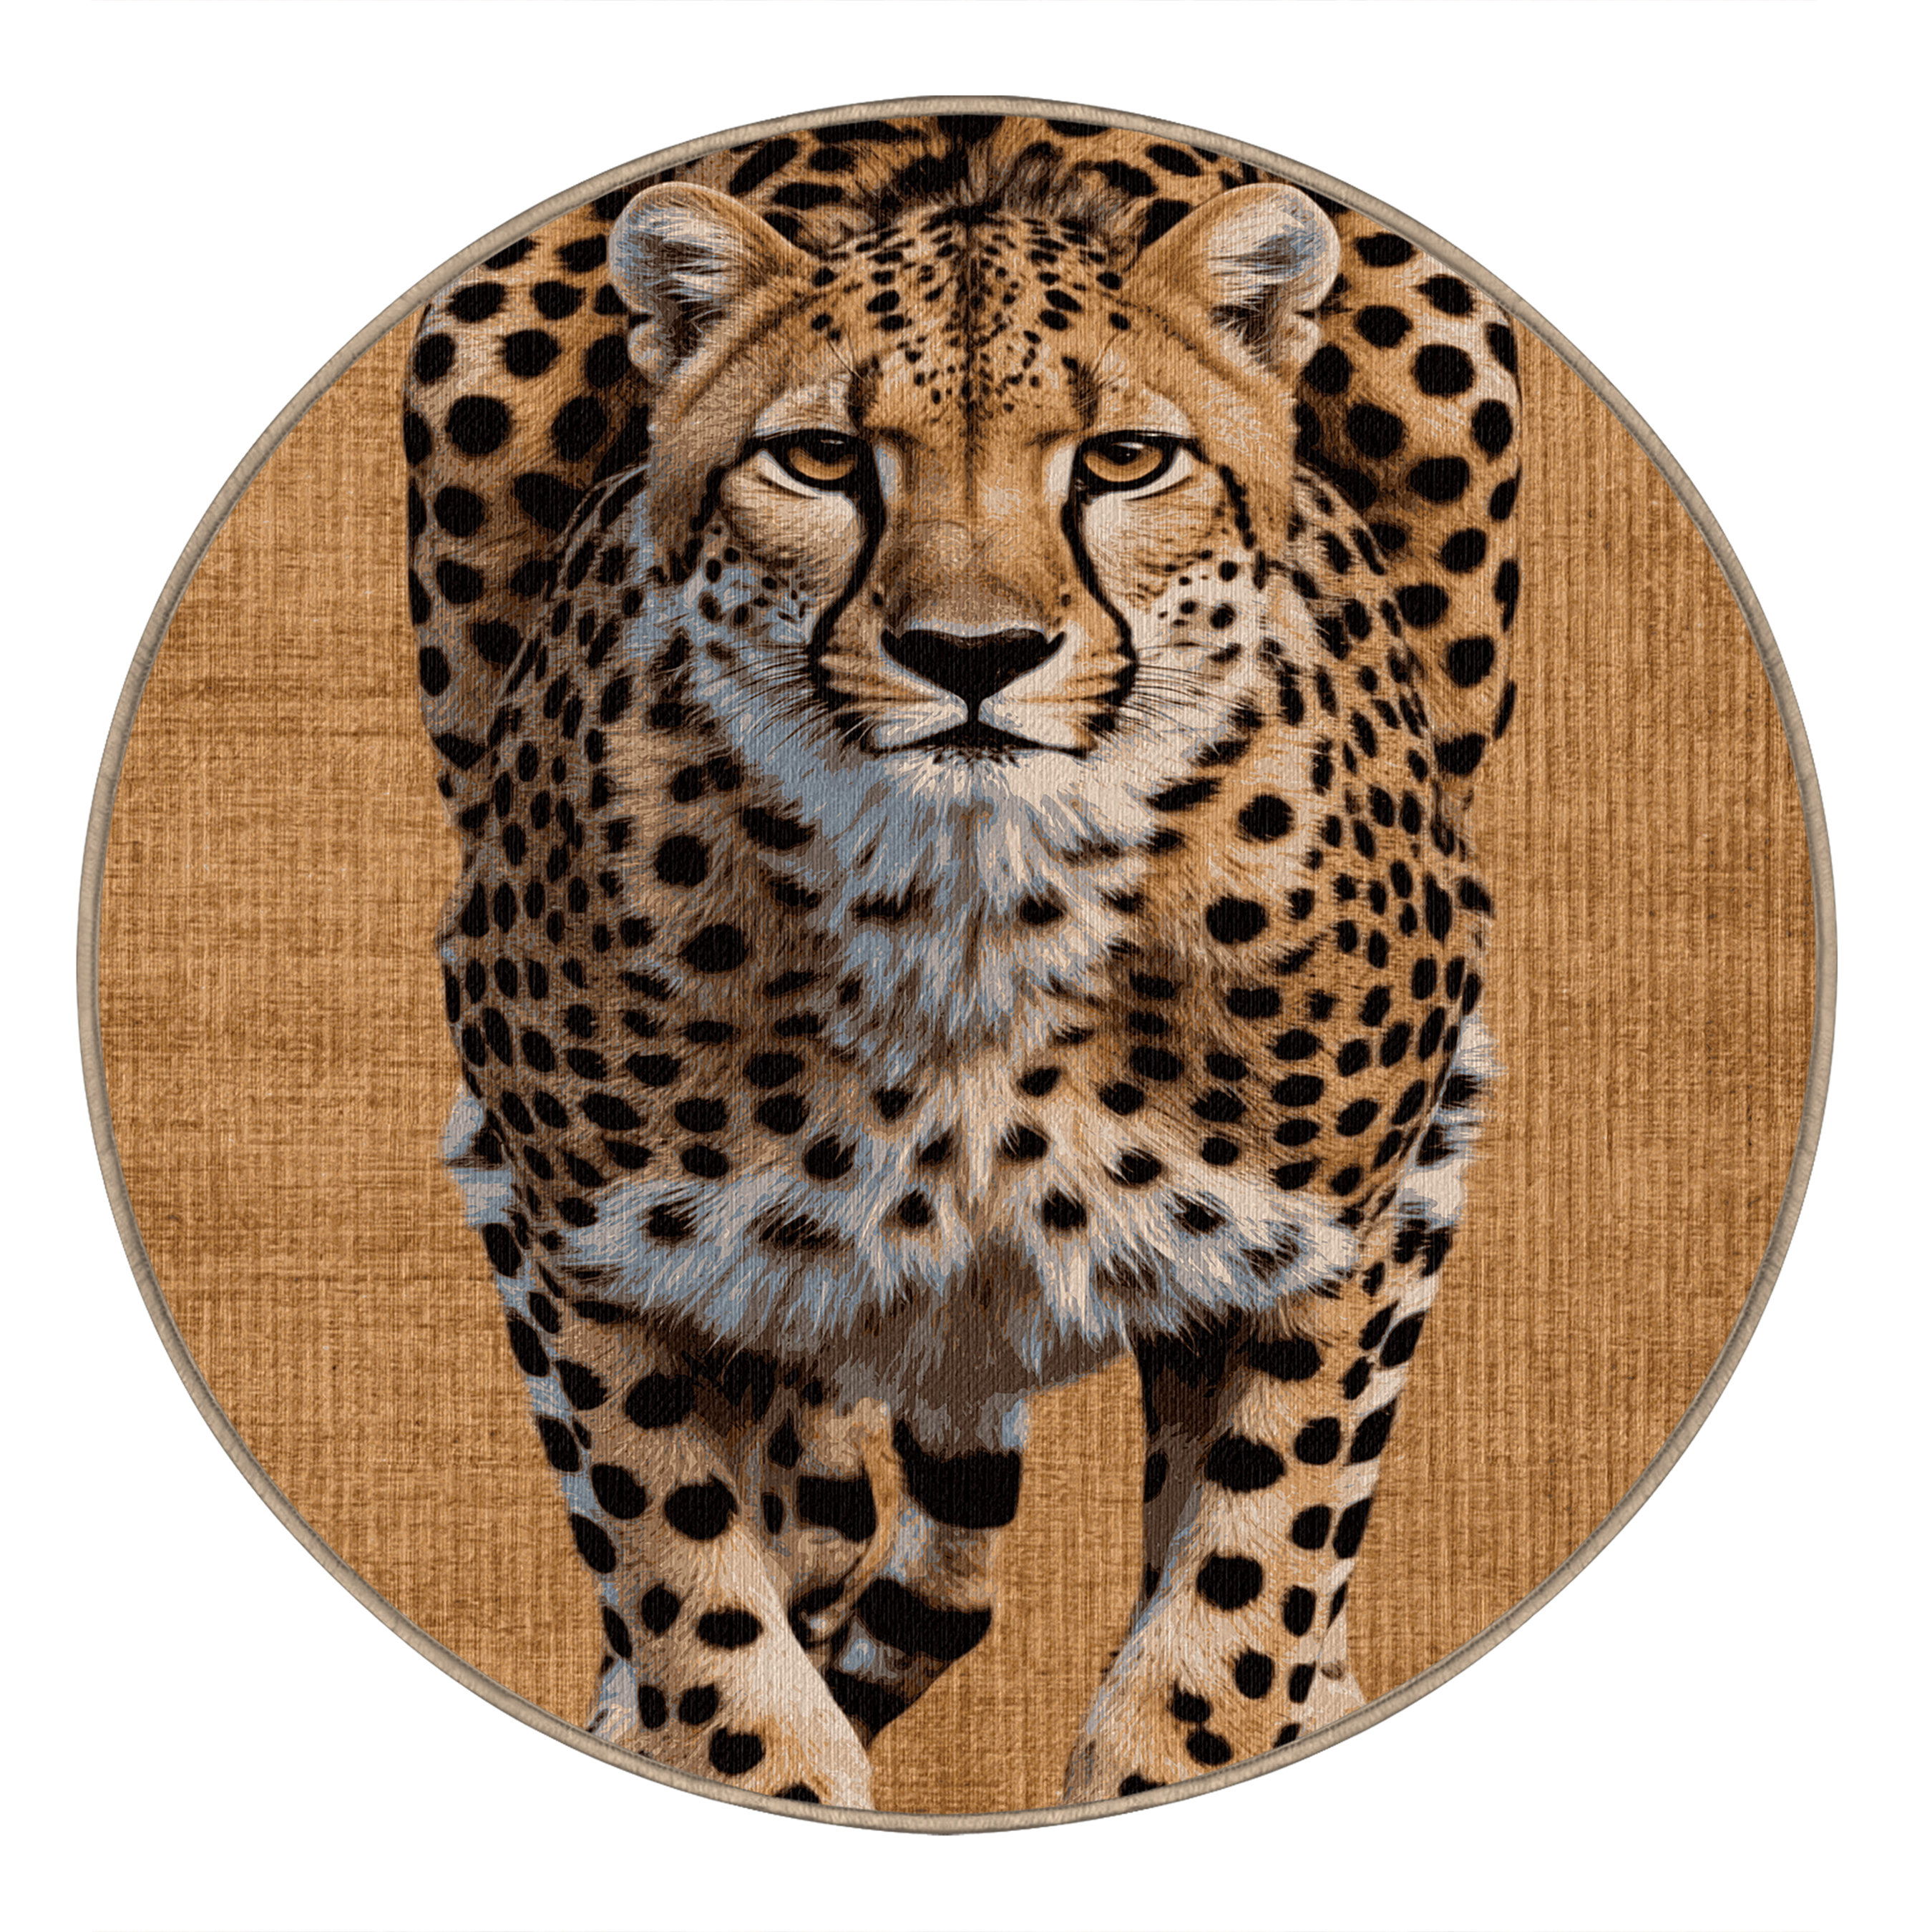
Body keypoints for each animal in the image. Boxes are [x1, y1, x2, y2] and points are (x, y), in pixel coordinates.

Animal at [402, 110, 1521, 1812]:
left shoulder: (1365, 1211)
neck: (976, 909)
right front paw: (737, 1745)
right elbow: (687, 1577)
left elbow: (1251, 1572)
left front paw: (1204, 1733)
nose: (973, 656)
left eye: (1123, 459)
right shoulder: (559, 1216)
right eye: (820, 459)